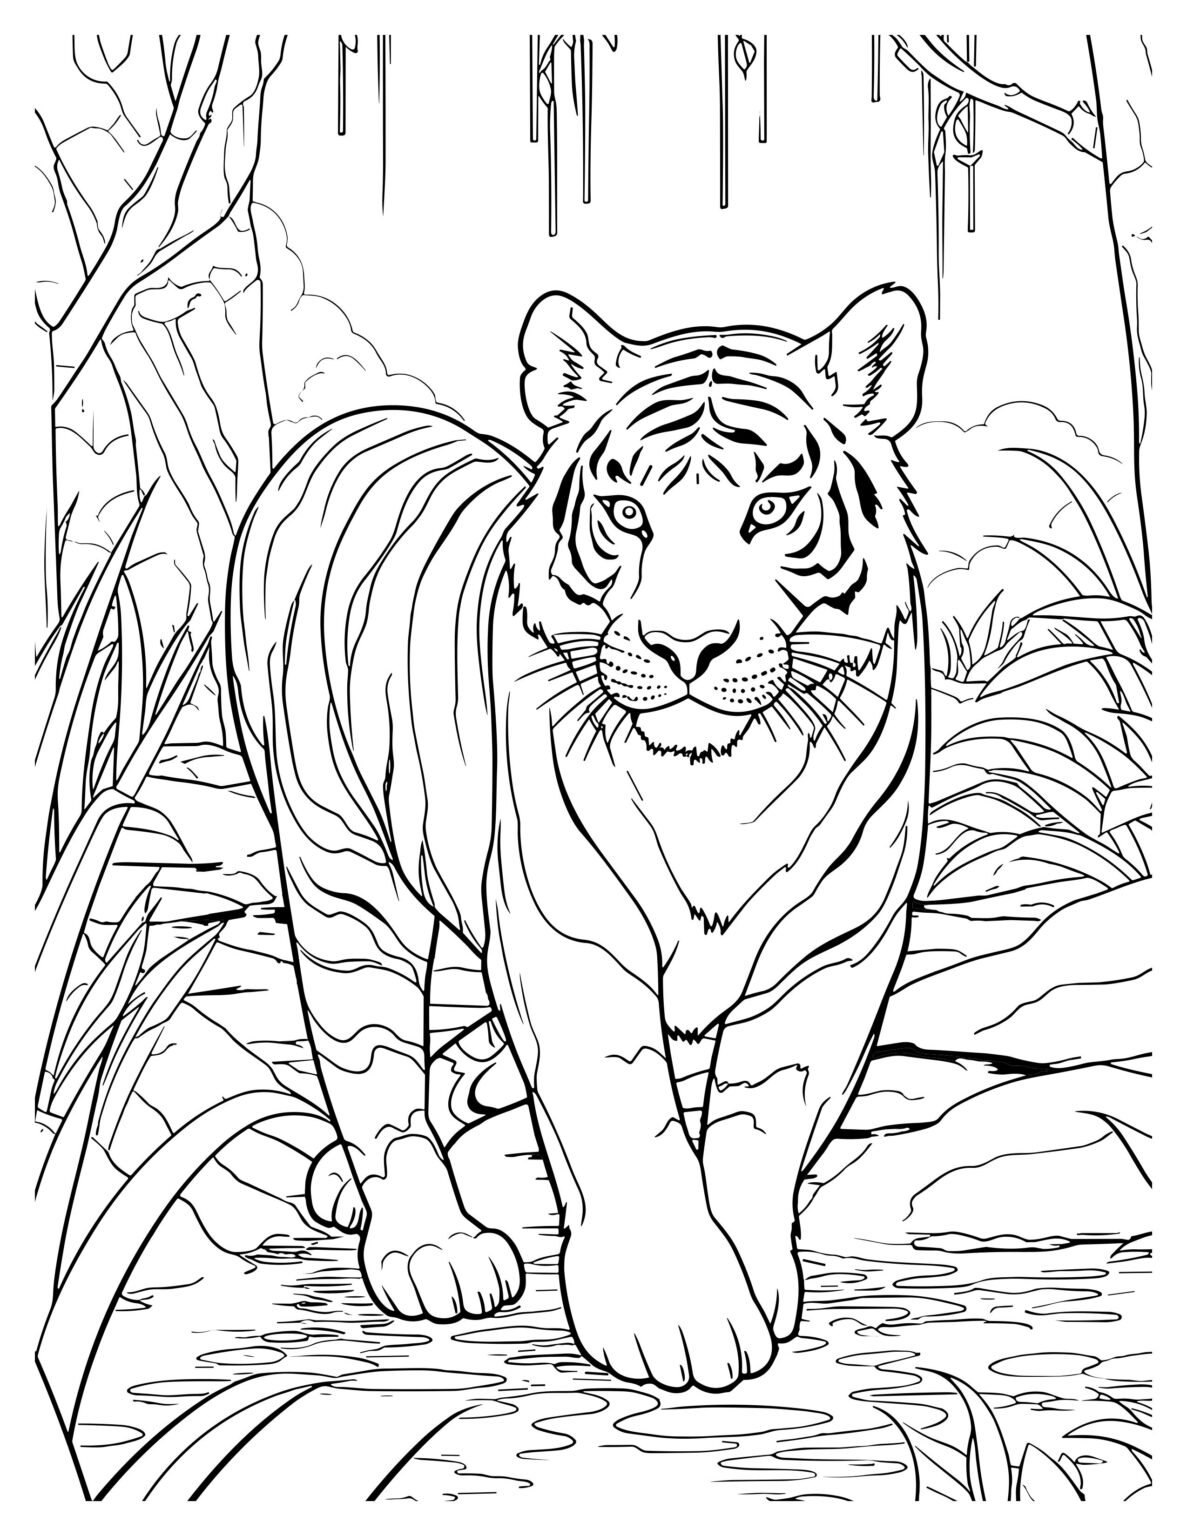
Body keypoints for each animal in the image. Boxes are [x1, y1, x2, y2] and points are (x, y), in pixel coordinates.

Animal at [227, 283, 930, 1393]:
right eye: (627, 514)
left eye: (768, 512)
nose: (686, 647)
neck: (719, 783)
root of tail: (348, 426)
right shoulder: (574, 937)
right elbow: (621, 1115)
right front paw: (673, 1313)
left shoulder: (830, 952)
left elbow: (760, 1125)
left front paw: (747, 1274)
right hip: (341, 861)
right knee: (370, 1052)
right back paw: (429, 1244)